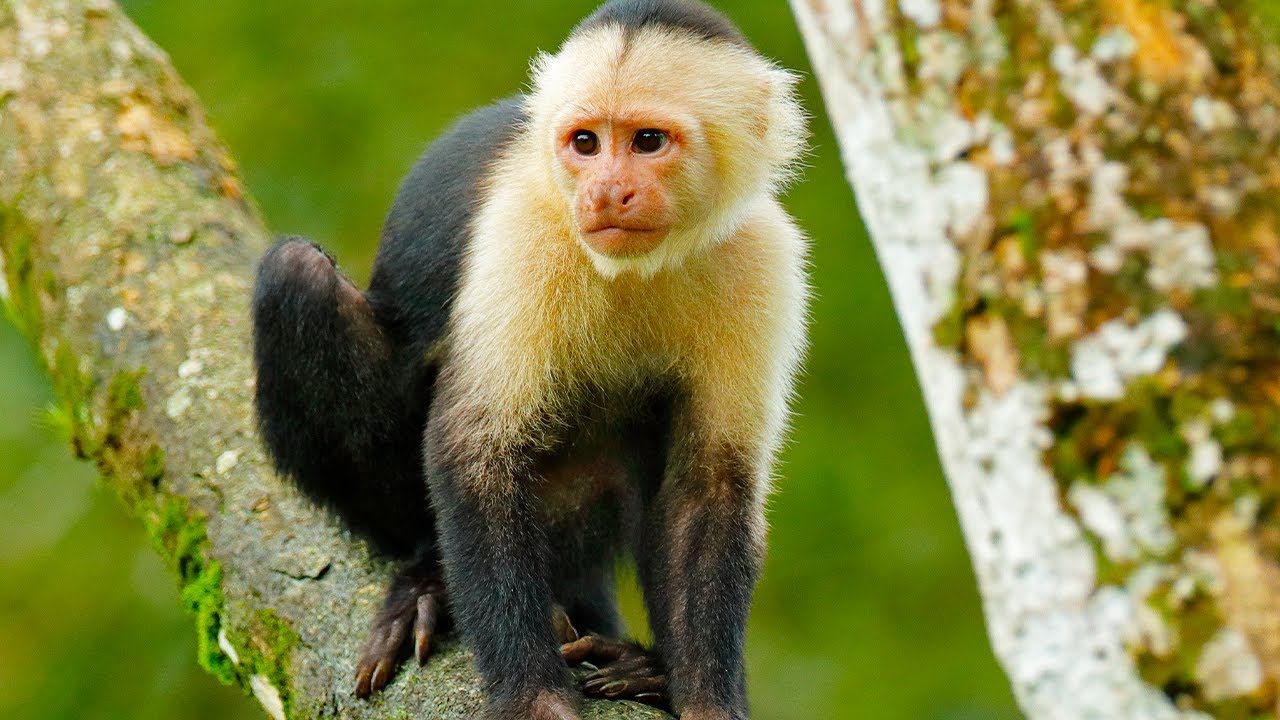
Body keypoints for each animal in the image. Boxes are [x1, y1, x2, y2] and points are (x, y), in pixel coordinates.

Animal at [251, 0, 808, 718]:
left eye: (647, 141)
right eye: (586, 143)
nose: (604, 192)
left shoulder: (763, 258)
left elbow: (709, 486)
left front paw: (707, 697)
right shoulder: (524, 228)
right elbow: (475, 448)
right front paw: (534, 696)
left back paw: (645, 668)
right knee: (298, 277)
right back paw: (426, 577)